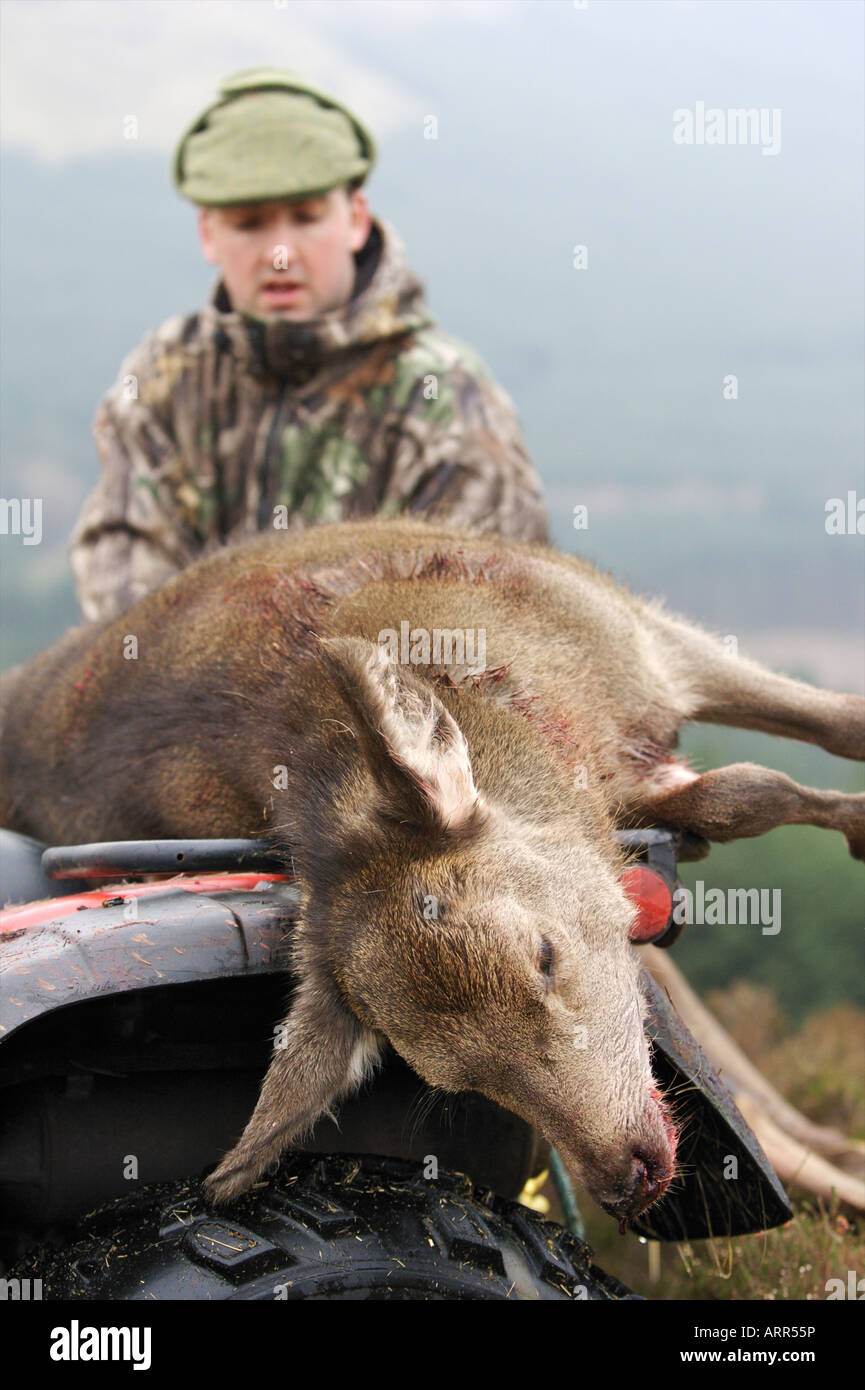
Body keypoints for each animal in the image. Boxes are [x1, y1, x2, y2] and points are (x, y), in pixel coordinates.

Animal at [1, 518, 862, 1223]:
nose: (626, 1178)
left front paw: (850, 817)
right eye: (456, 1082)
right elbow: (742, 792)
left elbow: (793, 753)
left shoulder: (632, 632)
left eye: (543, 955)